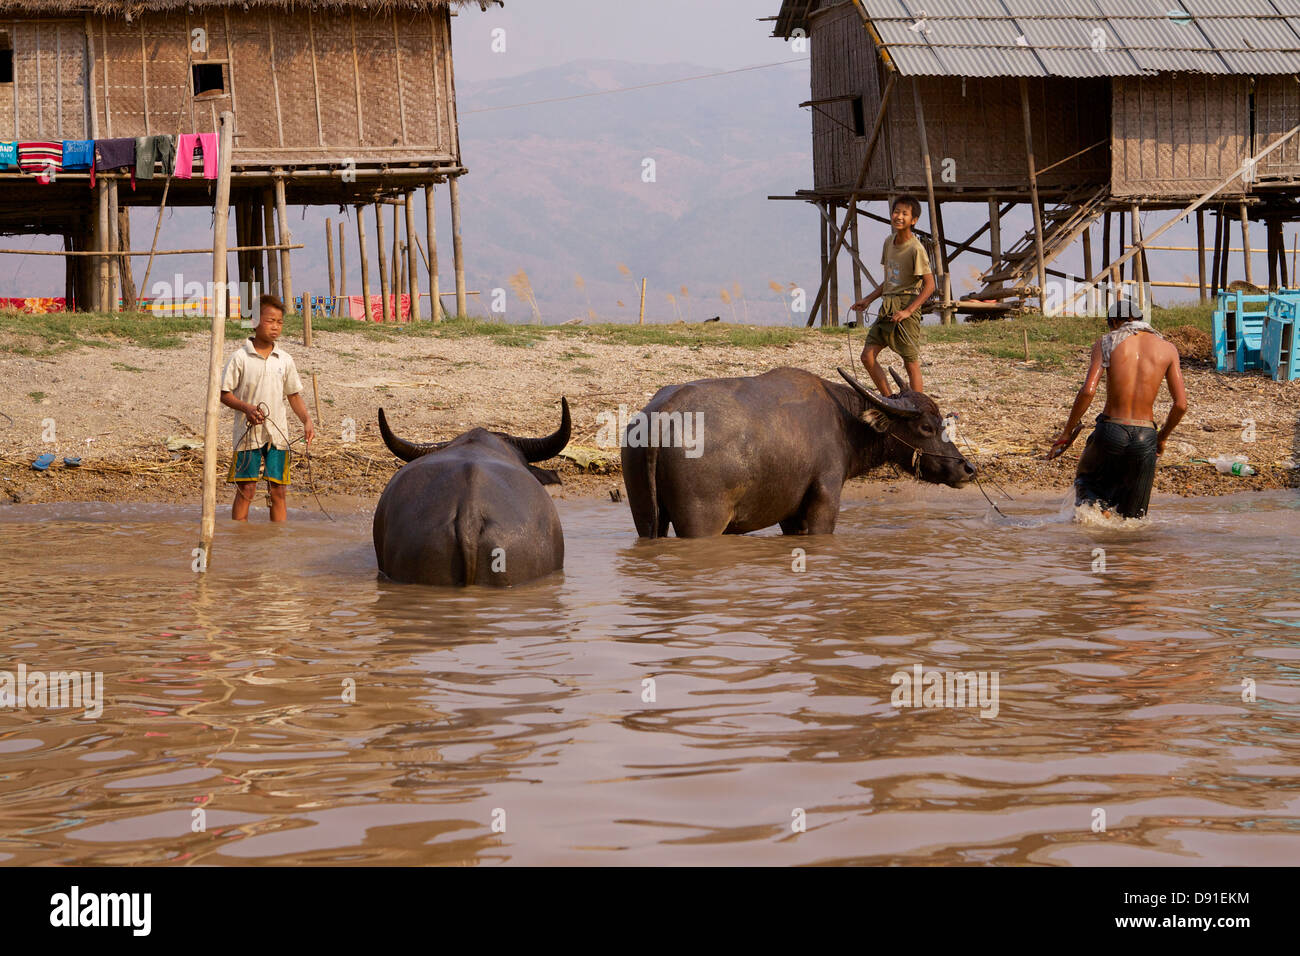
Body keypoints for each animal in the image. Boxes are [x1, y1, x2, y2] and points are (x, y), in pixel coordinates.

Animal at [621, 366, 974, 537]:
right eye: (926, 427)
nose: (967, 468)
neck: (846, 423)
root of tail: (662, 416)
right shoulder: (824, 498)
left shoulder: (790, 514)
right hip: (701, 523)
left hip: (646, 516)